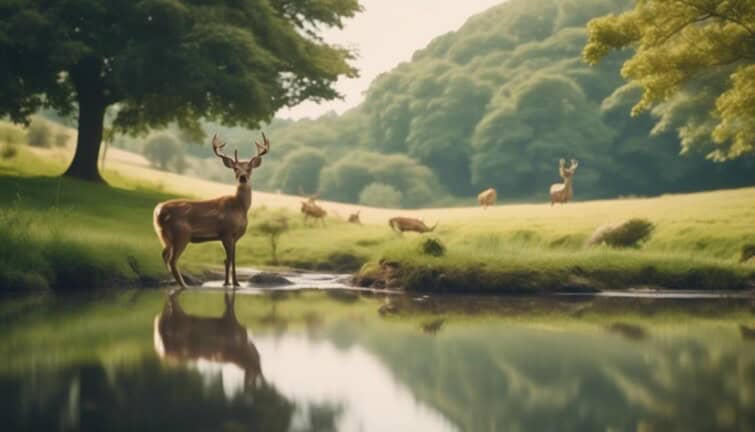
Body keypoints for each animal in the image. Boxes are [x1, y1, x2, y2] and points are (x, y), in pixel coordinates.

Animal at [153, 132, 270, 289]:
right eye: (235, 169)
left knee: (164, 255)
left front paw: (233, 283)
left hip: (164, 235)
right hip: (181, 233)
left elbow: (232, 260)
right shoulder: (226, 232)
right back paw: (184, 285)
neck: (240, 207)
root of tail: (159, 210)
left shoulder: (235, 236)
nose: (243, 177)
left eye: (249, 168)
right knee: (172, 260)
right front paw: (228, 283)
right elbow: (229, 259)